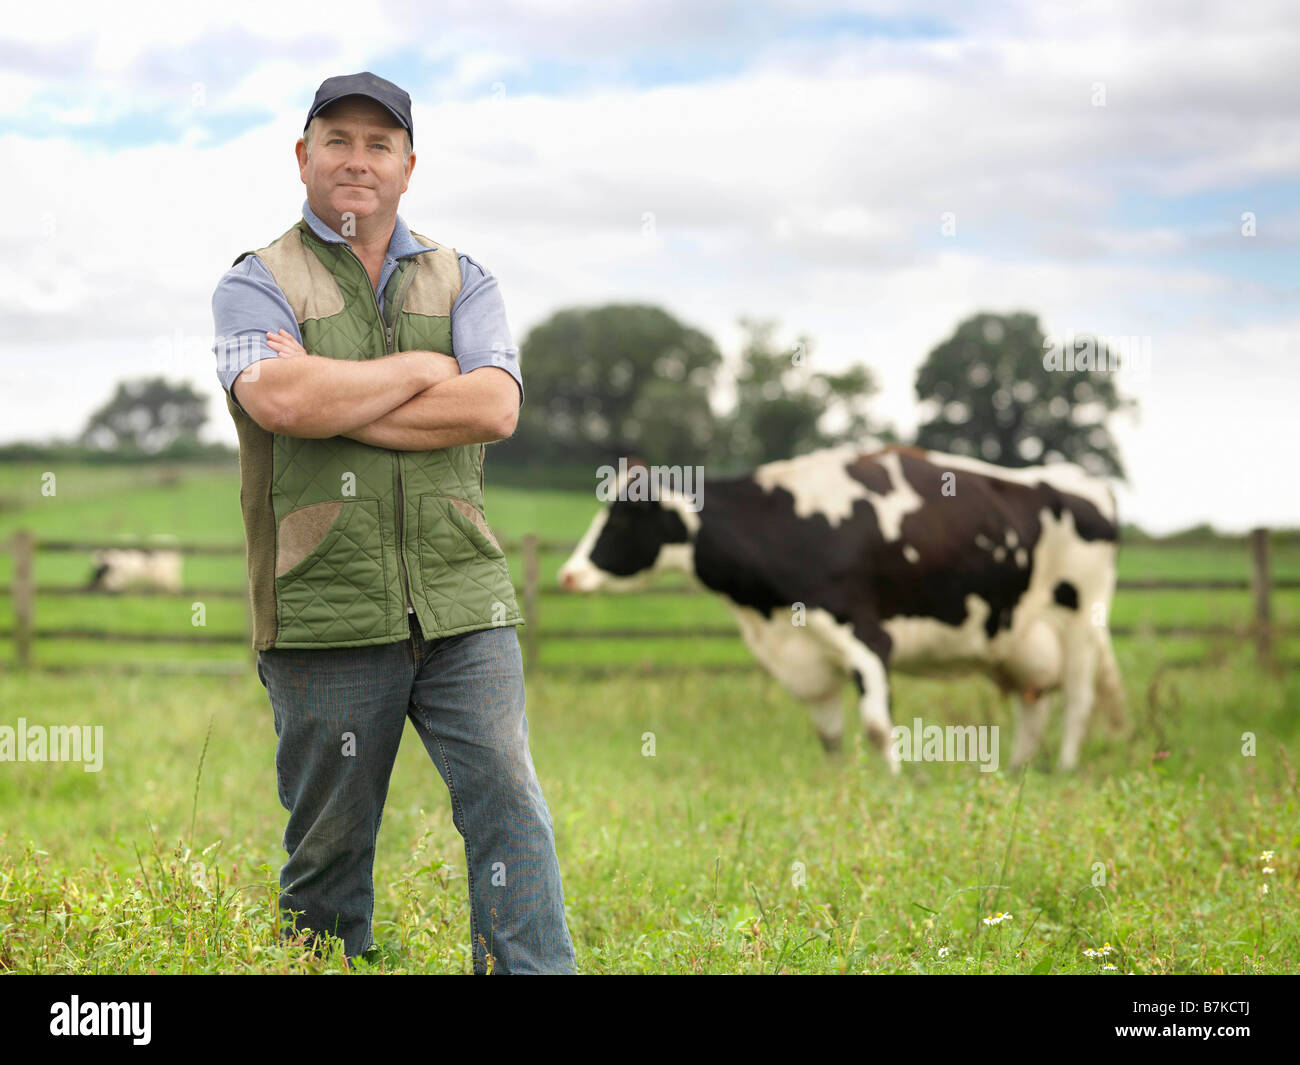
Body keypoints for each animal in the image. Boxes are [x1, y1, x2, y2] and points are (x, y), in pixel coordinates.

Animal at [557, 444, 1127, 773]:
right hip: (1019, 640)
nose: (569, 573)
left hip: (1082, 620)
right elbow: (829, 733)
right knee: (1033, 705)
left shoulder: (867, 635)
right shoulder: (806, 651)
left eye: (623, 519)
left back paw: (1065, 769)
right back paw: (1016, 772)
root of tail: (1087, 481)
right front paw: (837, 783)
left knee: (1078, 701)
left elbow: (875, 723)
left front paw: (899, 783)